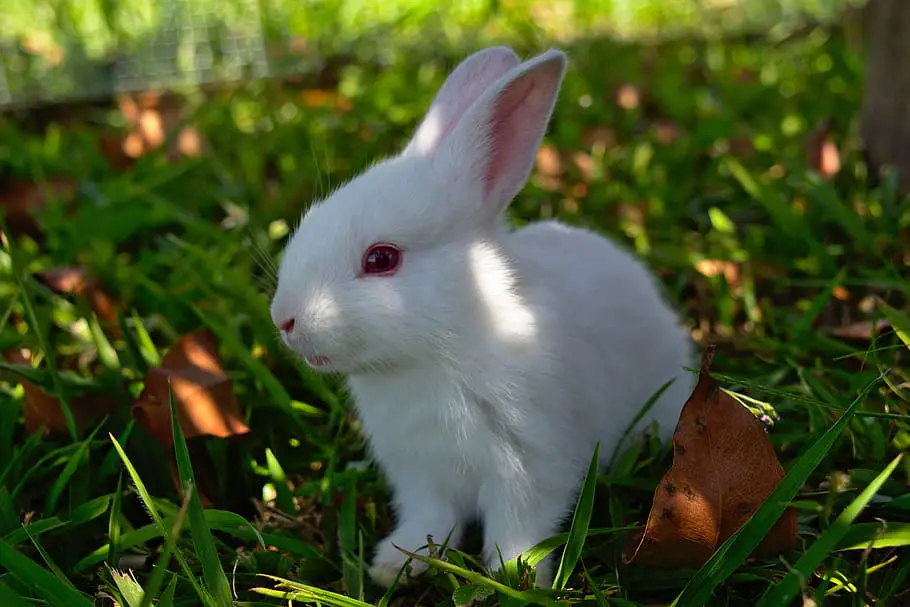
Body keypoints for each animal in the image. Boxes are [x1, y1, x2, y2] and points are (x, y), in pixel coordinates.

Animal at [269, 45, 695, 589]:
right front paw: (396, 563)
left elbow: (519, 526)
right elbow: (430, 520)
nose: (285, 320)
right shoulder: (421, 474)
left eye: (381, 259)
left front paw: (515, 577)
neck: (442, 347)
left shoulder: (527, 466)